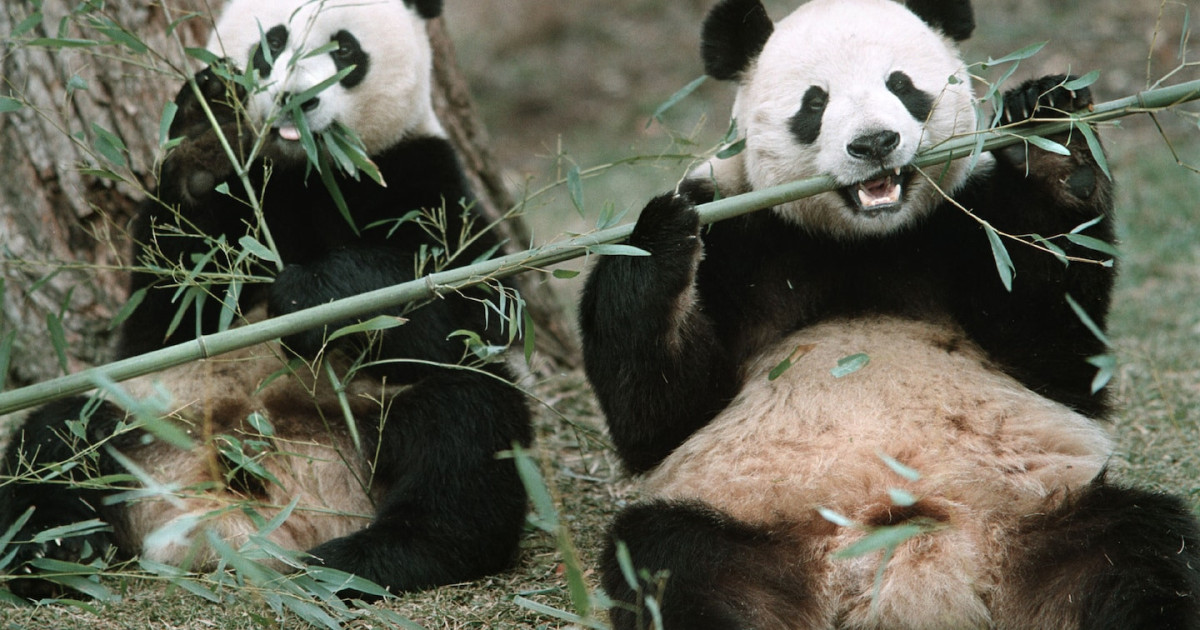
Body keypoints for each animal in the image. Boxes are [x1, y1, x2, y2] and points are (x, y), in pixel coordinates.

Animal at [0, 0, 530, 599]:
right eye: (272, 43)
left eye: (344, 50)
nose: (297, 98)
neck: (307, 170)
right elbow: (169, 304)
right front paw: (208, 132)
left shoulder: (418, 172)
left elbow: (471, 296)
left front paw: (310, 296)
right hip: (143, 407)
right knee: (52, 444)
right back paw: (55, 551)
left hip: (378, 411)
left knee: (466, 432)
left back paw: (365, 559)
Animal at [578, 0, 1200, 628]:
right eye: (814, 103)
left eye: (902, 86)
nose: (875, 142)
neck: (865, 241)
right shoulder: (738, 233)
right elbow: (659, 414)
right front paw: (655, 238)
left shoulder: (967, 220)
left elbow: (1061, 352)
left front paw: (1050, 135)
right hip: (743, 525)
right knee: (676, 563)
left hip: (1049, 513)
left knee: (1136, 552)